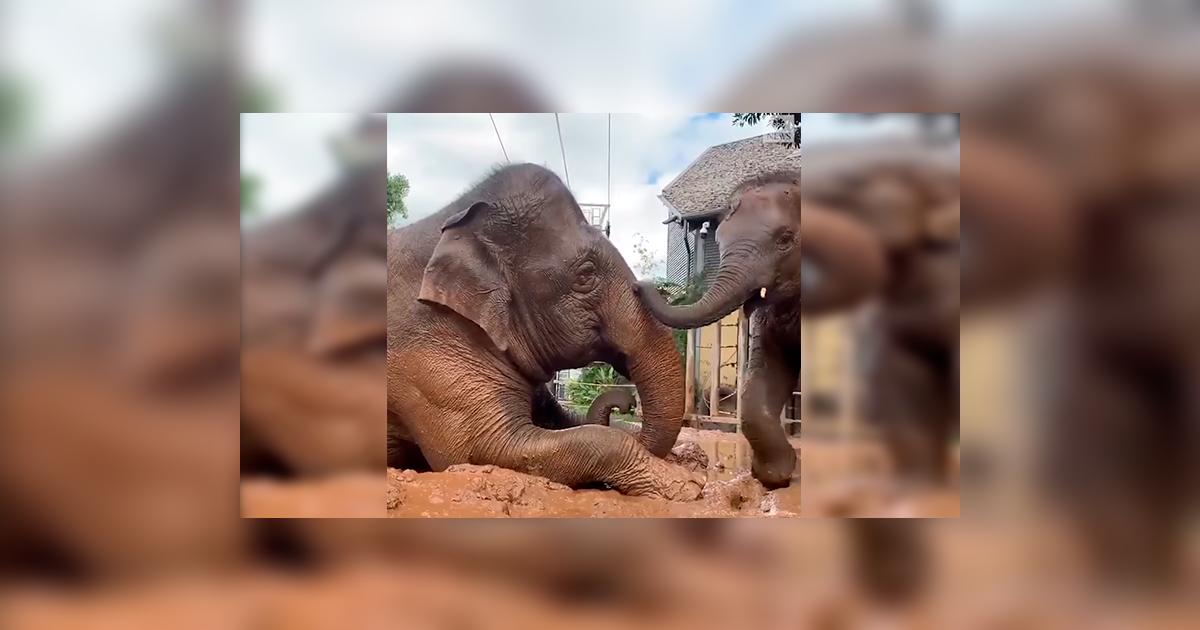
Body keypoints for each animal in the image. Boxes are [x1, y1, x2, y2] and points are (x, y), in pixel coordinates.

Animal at [387, 163, 703, 500]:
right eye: (586, 274)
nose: (627, 403)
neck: (452, 218)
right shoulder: (424, 352)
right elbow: (479, 448)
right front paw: (687, 487)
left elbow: (568, 422)